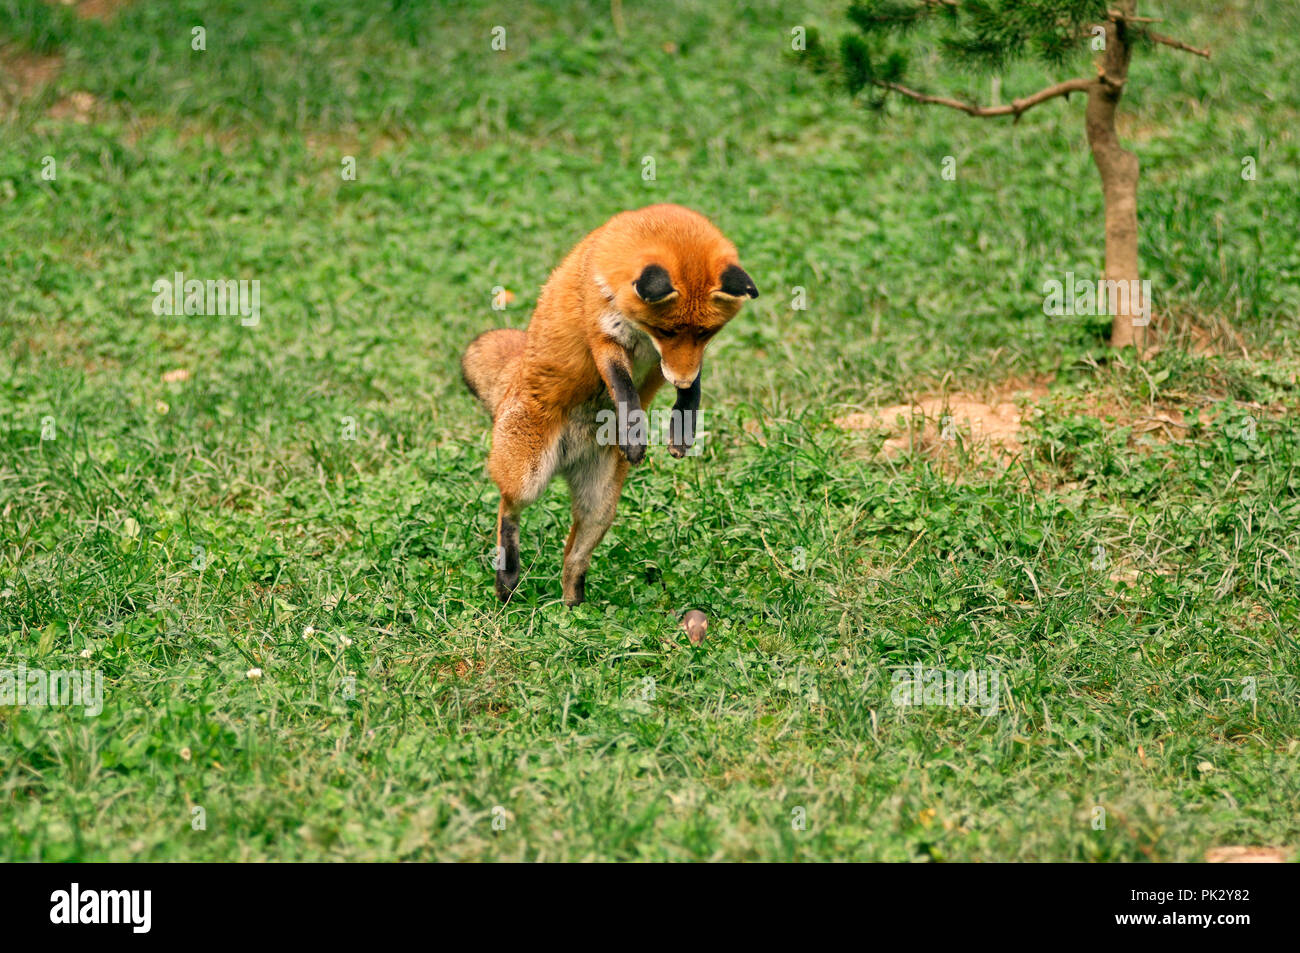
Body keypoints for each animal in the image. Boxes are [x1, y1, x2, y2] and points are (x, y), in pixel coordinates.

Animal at [461, 204, 759, 606]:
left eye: (705, 332)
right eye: (666, 331)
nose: (678, 380)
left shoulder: (684, 360)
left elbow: (692, 392)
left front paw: (683, 427)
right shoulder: (603, 337)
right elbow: (624, 389)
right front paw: (634, 437)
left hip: (600, 509)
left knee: (573, 561)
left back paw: (574, 612)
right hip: (528, 476)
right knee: (507, 509)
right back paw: (507, 577)